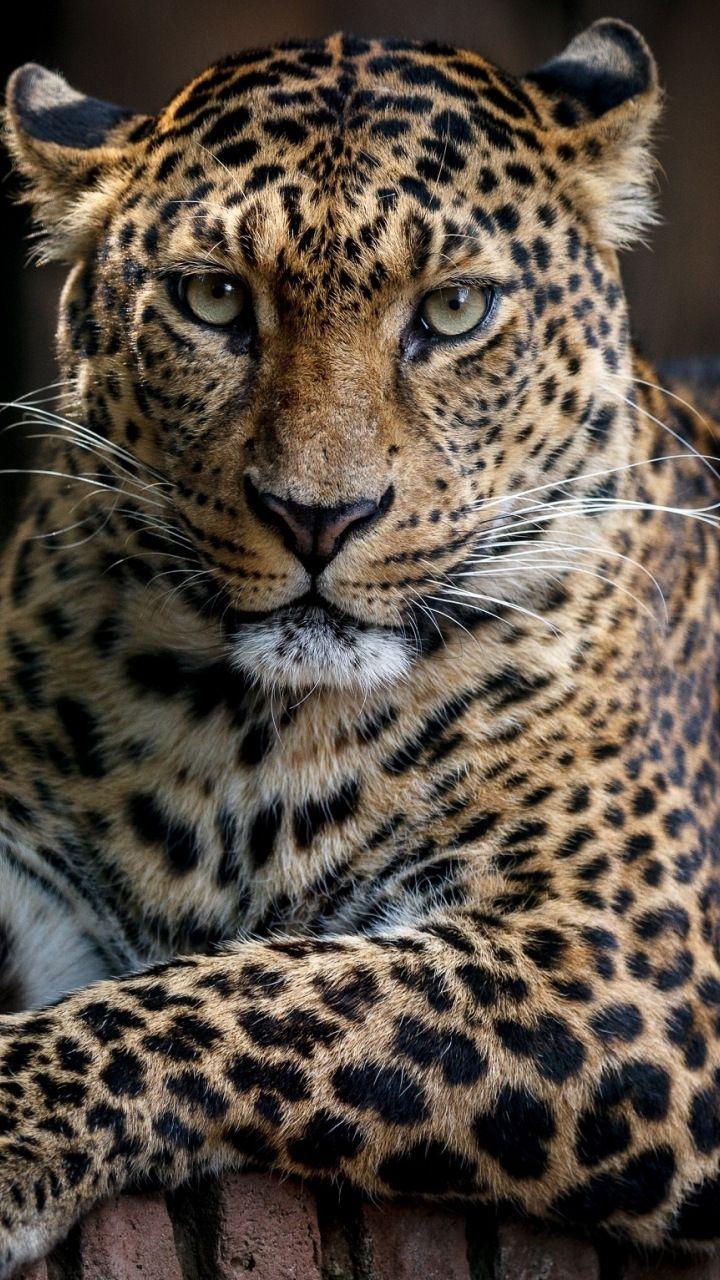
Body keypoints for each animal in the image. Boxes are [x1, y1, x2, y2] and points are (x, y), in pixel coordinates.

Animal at [0, 17, 719, 1276]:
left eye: (455, 311)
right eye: (212, 299)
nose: (317, 516)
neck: (241, 740)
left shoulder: (630, 960)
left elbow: (269, 991)